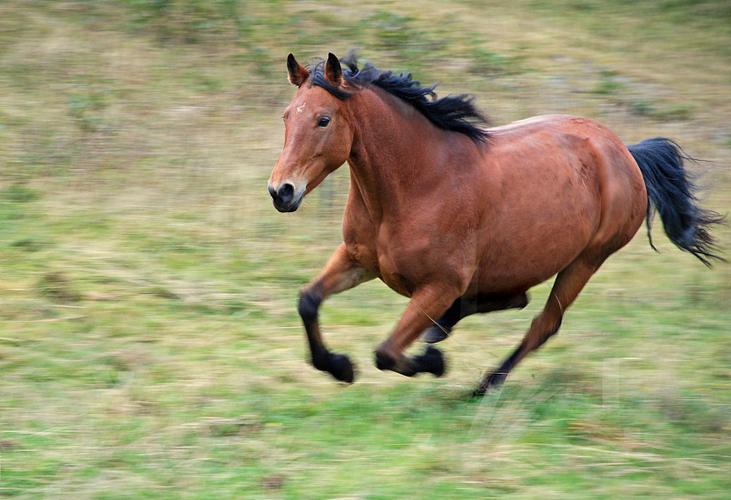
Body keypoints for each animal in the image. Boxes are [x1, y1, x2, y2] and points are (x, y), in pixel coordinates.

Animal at [267, 52, 723, 395]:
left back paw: (484, 383)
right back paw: (444, 331)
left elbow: (388, 353)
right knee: (514, 298)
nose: (281, 191)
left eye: (324, 120)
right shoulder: (359, 259)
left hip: (586, 260)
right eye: (288, 116)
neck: (419, 182)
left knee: (543, 323)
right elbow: (308, 300)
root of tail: (625, 151)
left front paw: (432, 363)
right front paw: (339, 366)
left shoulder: (440, 285)